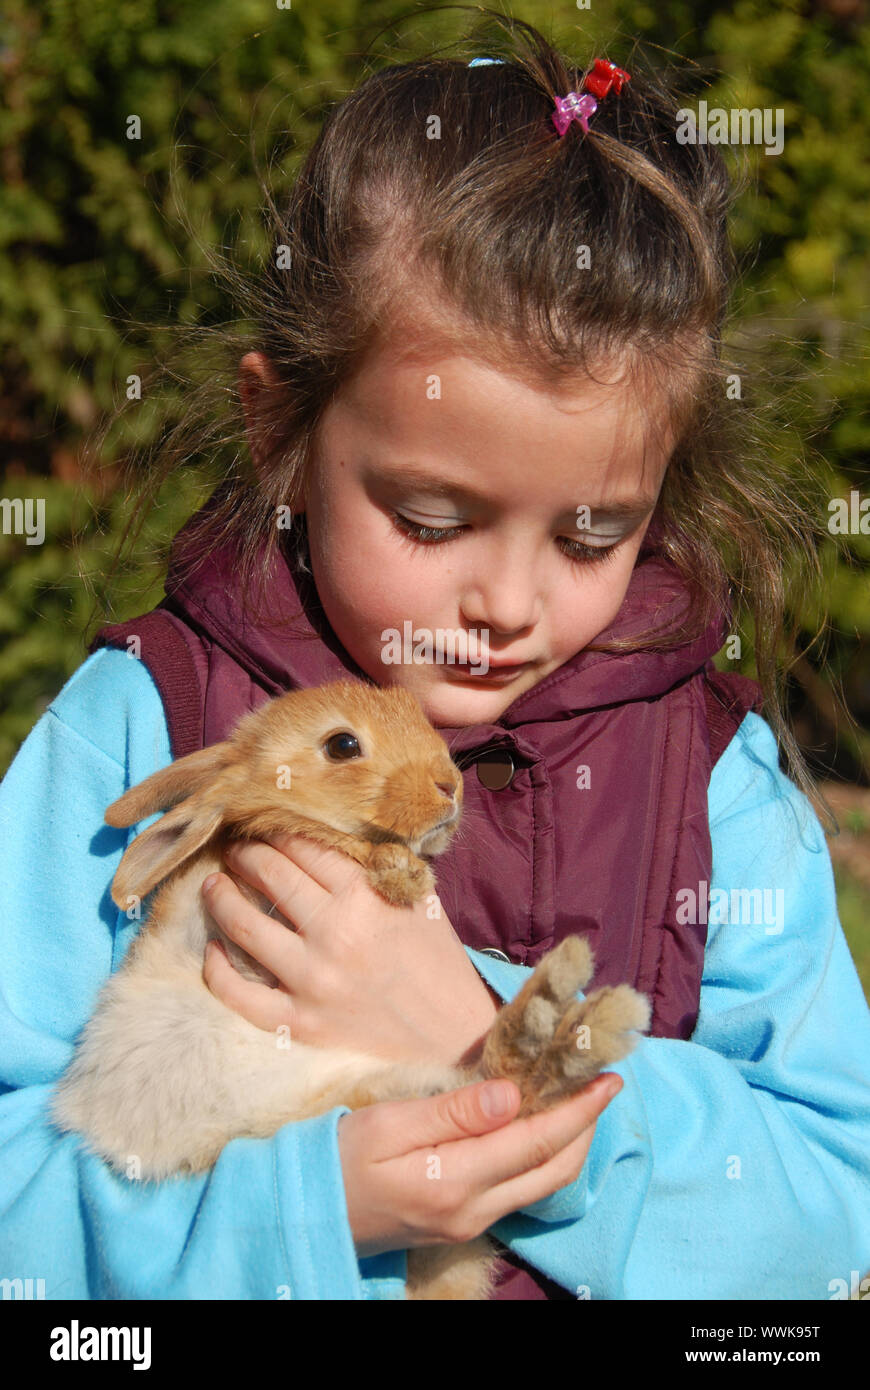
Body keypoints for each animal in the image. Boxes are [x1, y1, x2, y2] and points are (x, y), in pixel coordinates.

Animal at [51, 678, 651, 1300]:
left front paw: (403, 870)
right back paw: (569, 1017)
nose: (449, 785)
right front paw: (404, 874)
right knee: (503, 1090)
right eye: (342, 745)